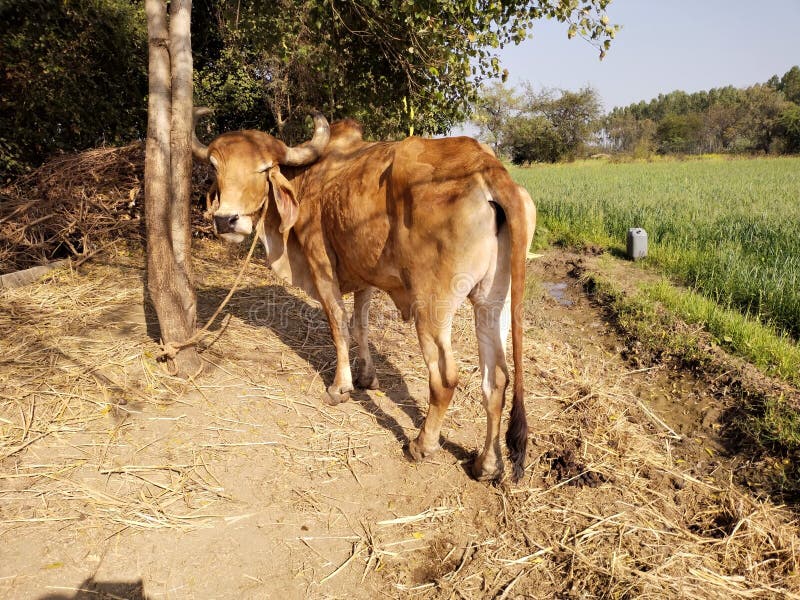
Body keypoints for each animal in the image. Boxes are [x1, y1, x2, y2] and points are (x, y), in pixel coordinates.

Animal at [192, 111, 536, 481]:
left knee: (445, 378)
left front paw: (340, 387)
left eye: (263, 168)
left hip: (432, 305)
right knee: (497, 380)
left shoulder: (321, 265)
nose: (226, 220)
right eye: (215, 167)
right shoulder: (364, 276)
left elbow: (338, 326)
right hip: (493, 301)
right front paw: (367, 377)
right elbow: (361, 326)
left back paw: (422, 445)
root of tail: (487, 167)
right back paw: (486, 463)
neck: (310, 178)